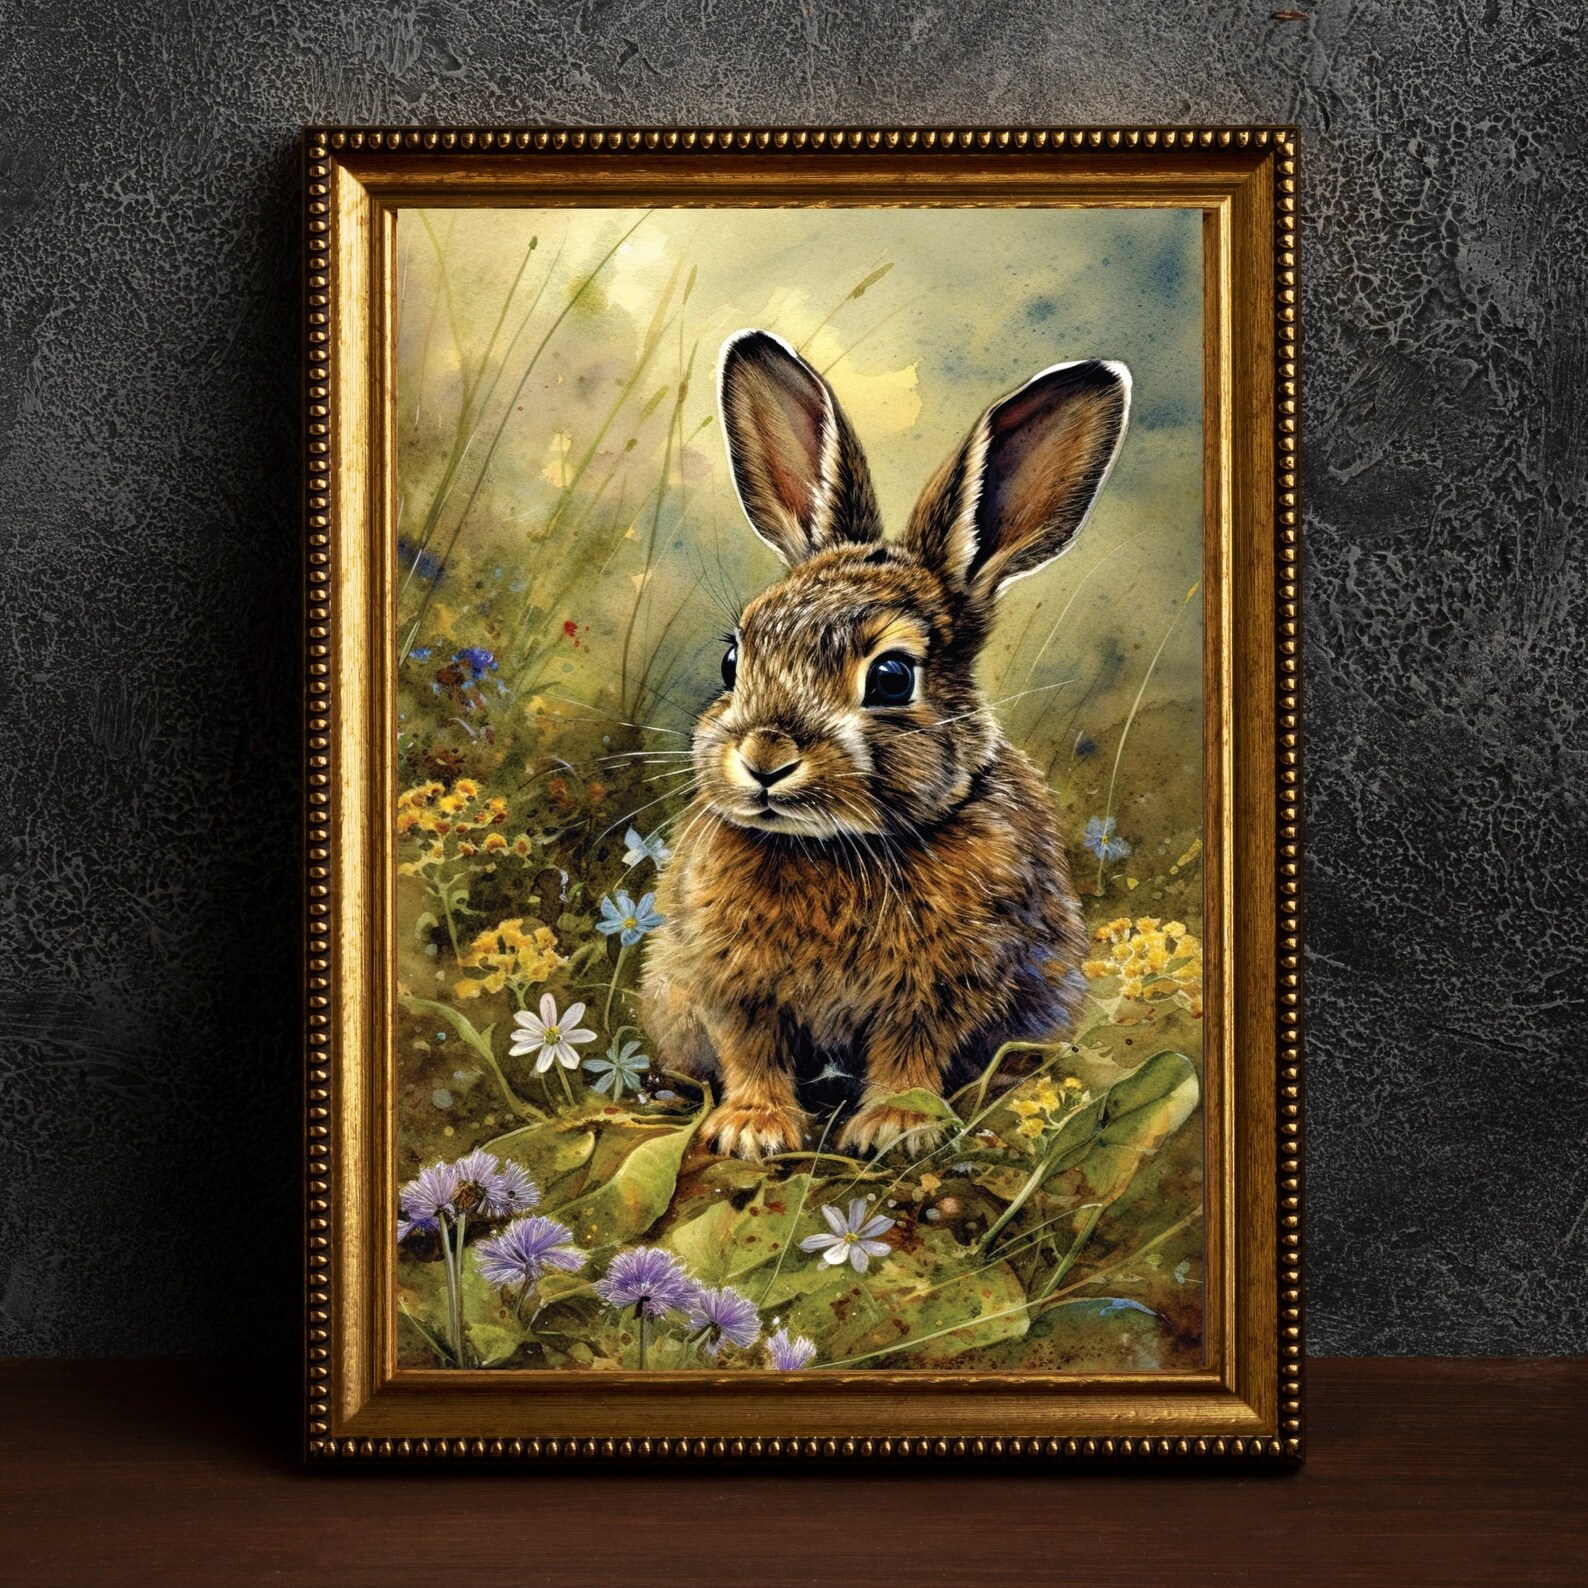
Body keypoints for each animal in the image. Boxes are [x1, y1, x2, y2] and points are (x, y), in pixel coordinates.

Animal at [640, 328, 1130, 1159]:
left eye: (893, 677)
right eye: (733, 660)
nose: (765, 760)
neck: (833, 847)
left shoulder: (948, 983)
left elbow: (911, 1051)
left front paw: (896, 1127)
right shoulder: (727, 980)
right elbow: (751, 1048)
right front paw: (753, 1128)